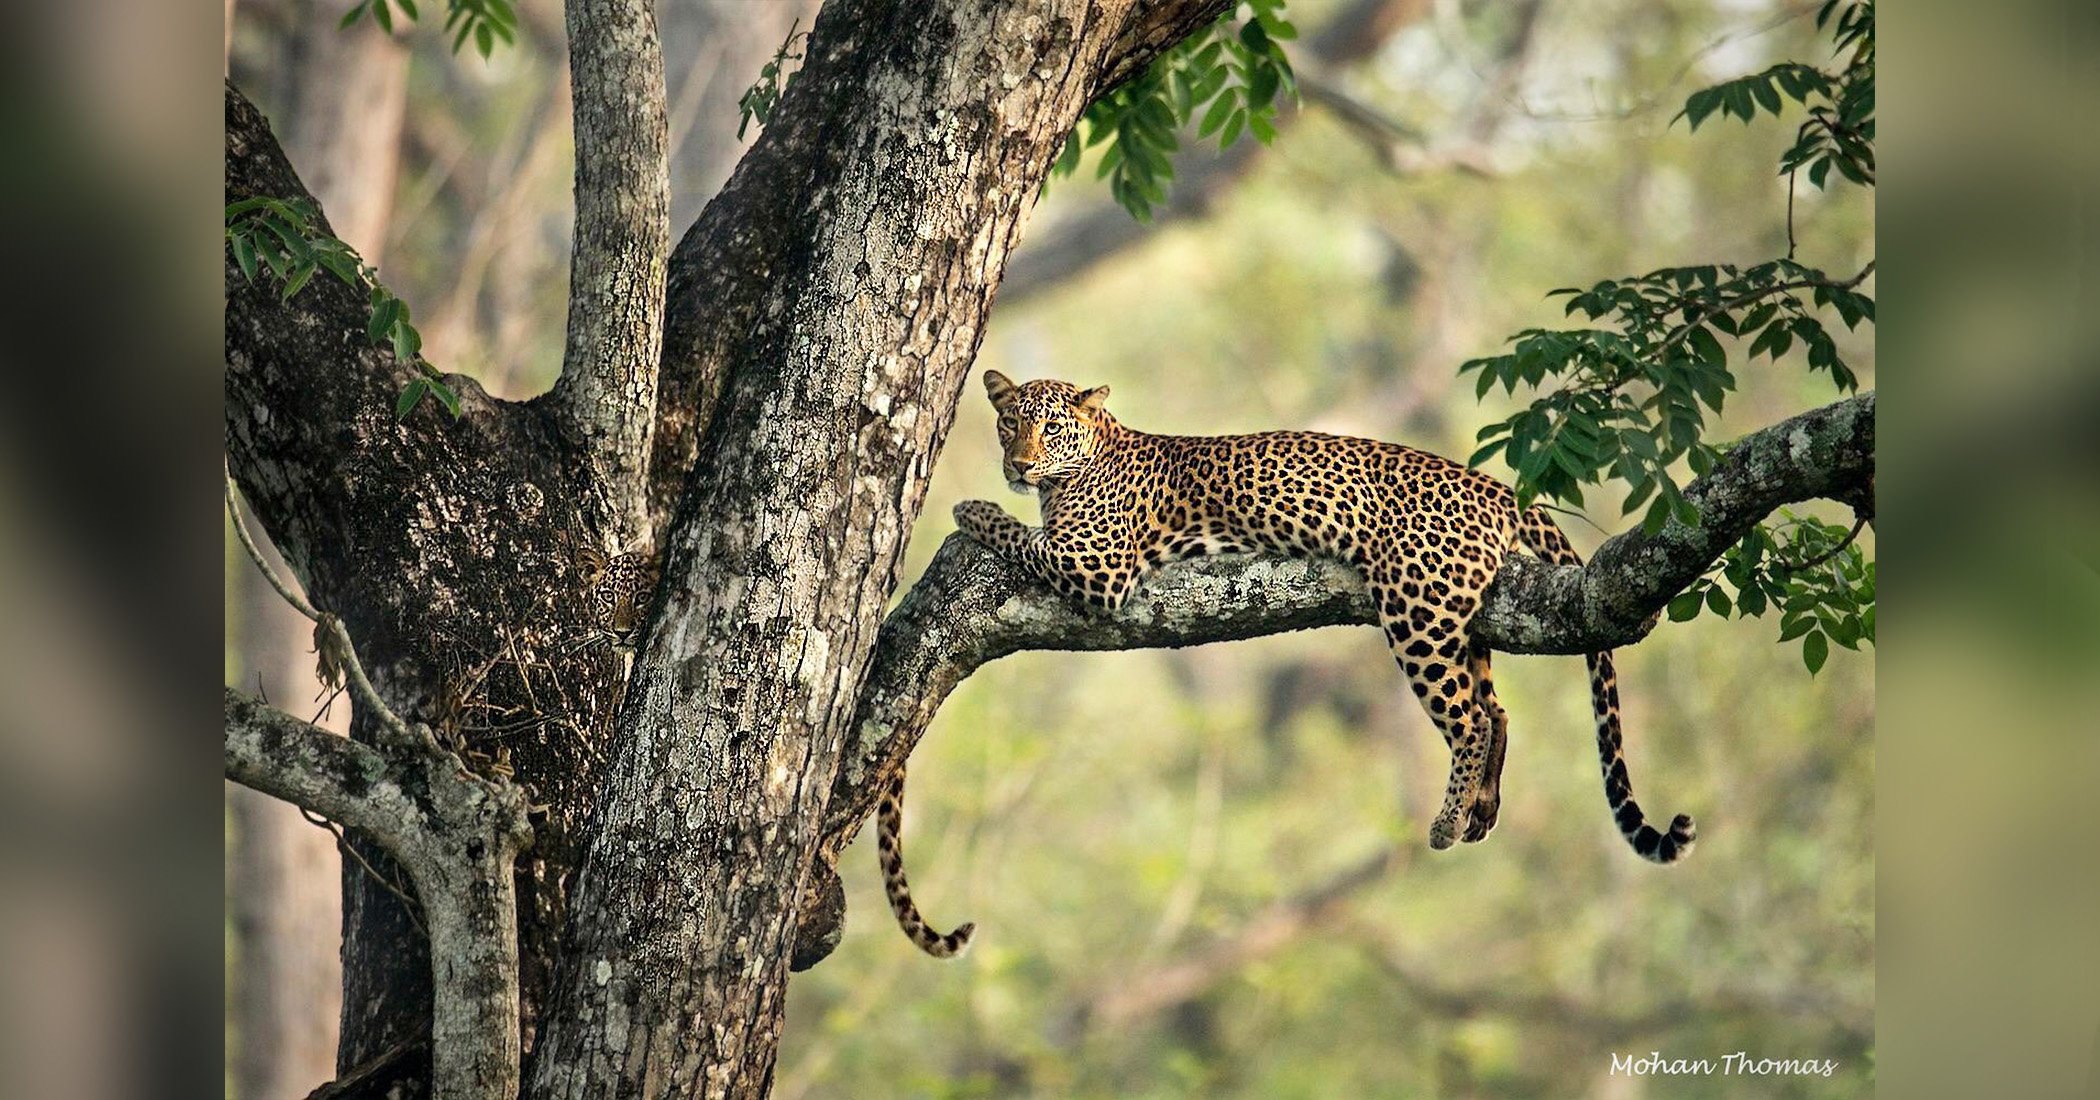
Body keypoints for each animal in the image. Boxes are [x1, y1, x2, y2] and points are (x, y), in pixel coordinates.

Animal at [879, 370, 1695, 958]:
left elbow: (1013, 532)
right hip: (1460, 620)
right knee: (1494, 708)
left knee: (1466, 719)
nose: (1020, 465)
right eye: (1009, 422)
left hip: (1418, 609)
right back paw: (1482, 810)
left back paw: (1443, 821)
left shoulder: (1095, 565)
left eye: (1051, 427)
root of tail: (1497, 486)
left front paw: (971, 509)